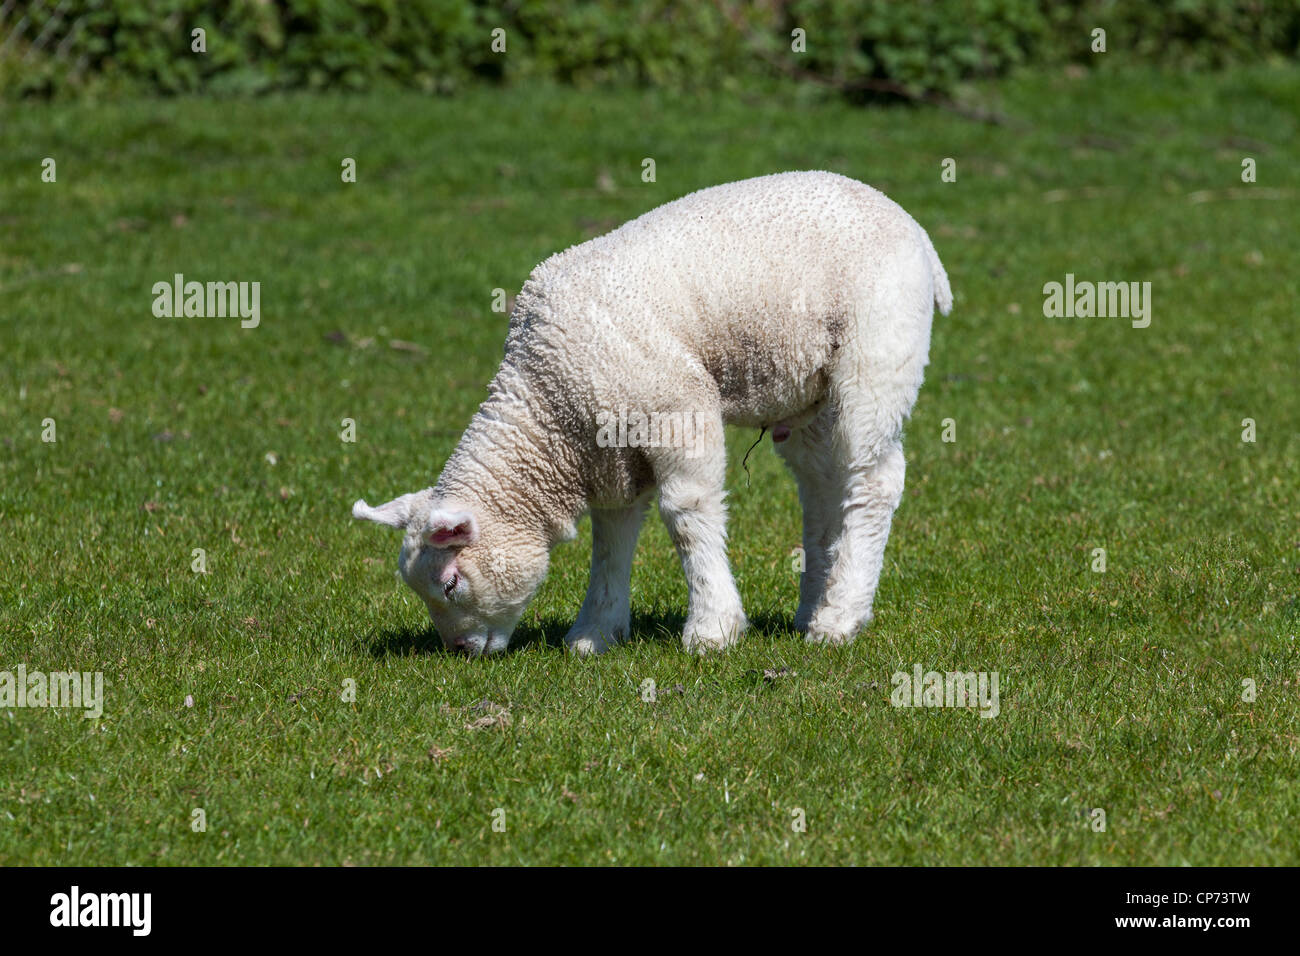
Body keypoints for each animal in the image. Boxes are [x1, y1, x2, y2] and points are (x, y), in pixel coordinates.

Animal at [353, 170, 951, 656]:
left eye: (451, 583)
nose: (458, 651)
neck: (547, 401)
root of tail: (917, 233)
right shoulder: (609, 448)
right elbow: (611, 535)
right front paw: (596, 631)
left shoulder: (676, 407)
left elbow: (687, 513)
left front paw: (713, 628)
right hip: (810, 394)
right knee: (825, 485)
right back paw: (813, 610)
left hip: (876, 357)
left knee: (873, 480)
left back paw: (840, 617)